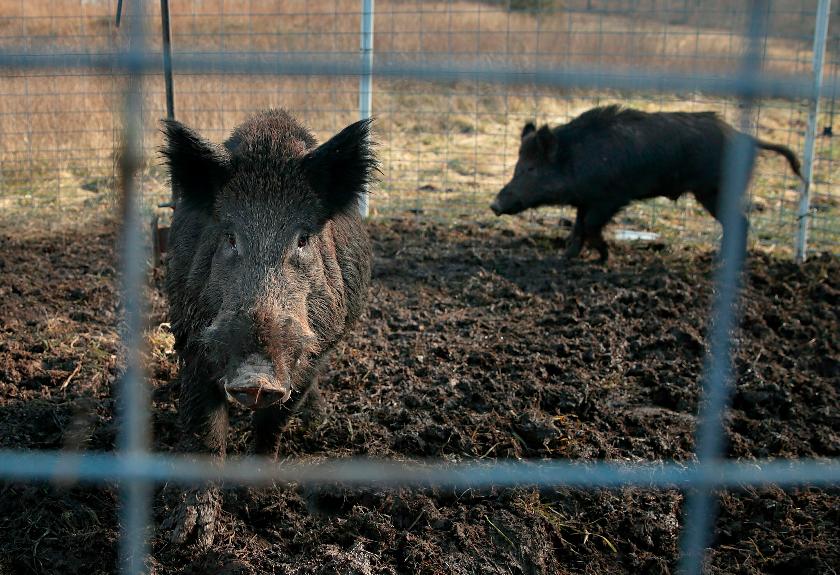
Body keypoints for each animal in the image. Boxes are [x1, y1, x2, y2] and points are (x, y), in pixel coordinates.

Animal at [160, 109, 375, 547]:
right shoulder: (192, 339)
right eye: (229, 236)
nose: (256, 379)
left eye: (303, 239)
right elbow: (205, 431)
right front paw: (187, 537)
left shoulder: (314, 353)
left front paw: (257, 498)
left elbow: (273, 424)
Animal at [490, 105, 803, 261]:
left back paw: (723, 261)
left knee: (740, 221)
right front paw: (565, 257)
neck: (577, 158)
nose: (494, 204)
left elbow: (589, 226)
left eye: (531, 169)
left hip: (715, 190)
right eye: (516, 167)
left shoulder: (611, 197)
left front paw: (603, 257)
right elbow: (578, 228)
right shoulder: (586, 199)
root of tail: (747, 138)